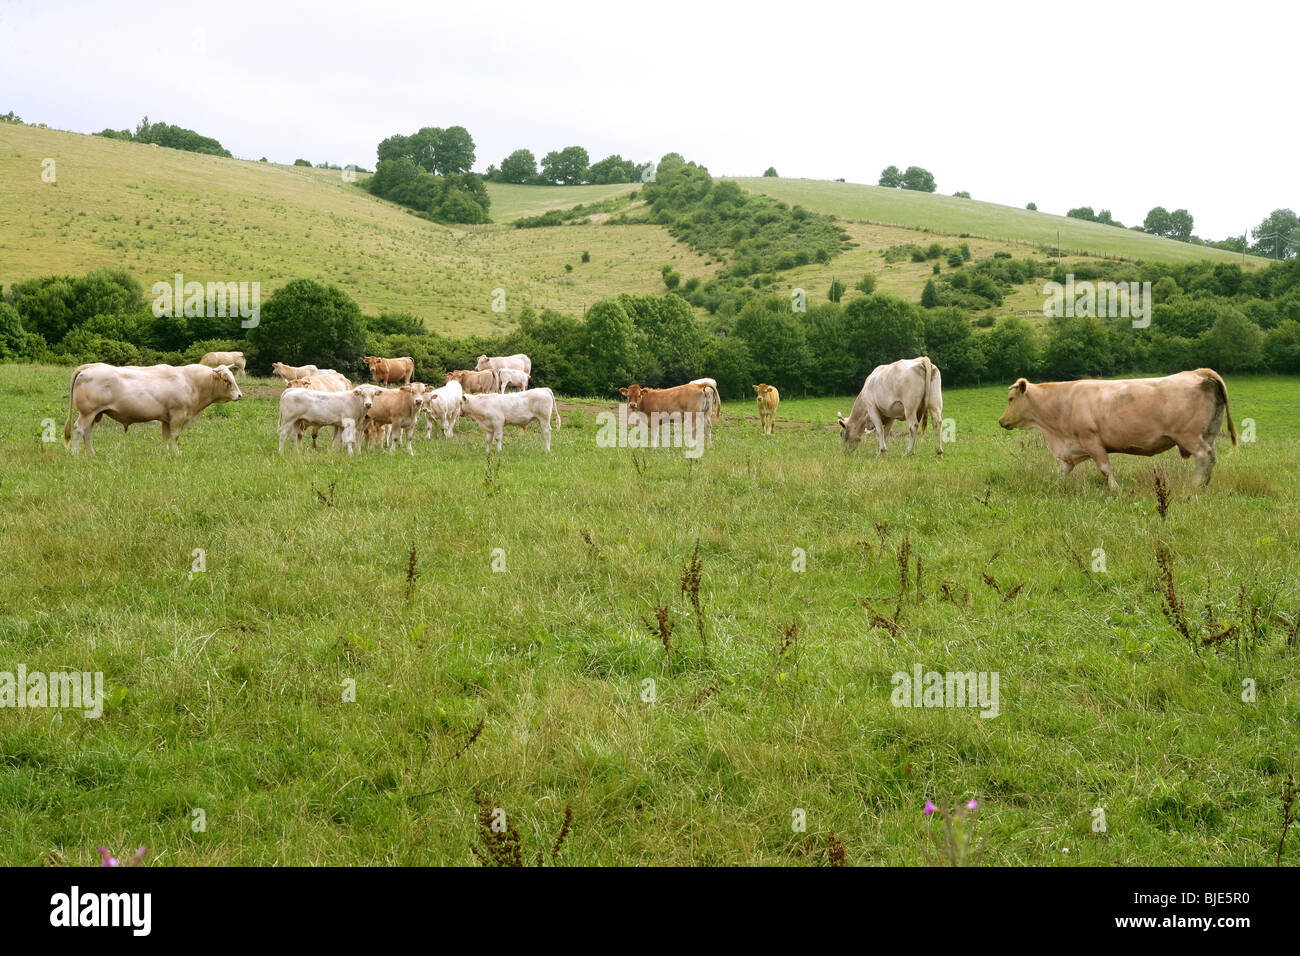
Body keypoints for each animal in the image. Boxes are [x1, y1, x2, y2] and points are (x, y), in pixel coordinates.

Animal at [65, 363, 242, 455]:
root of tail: (89, 367)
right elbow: (175, 436)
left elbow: (166, 436)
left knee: (87, 432)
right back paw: (75, 454)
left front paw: (165, 454)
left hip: (94, 414)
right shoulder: (178, 415)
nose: (239, 395)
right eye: (226, 380)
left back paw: (91, 454)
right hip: (87, 413)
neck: (192, 383)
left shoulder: (166, 418)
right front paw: (176, 454)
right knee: (79, 430)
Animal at [997, 369, 1236, 488]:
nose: (1001, 421)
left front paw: (1115, 489)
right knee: (1211, 458)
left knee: (1204, 456)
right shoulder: (1073, 446)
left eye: (1010, 399)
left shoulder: (1092, 441)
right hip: (1209, 433)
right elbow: (1064, 470)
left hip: (1189, 436)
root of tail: (1198, 372)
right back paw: (1204, 484)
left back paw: (1195, 485)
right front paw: (1056, 485)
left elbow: (1104, 469)